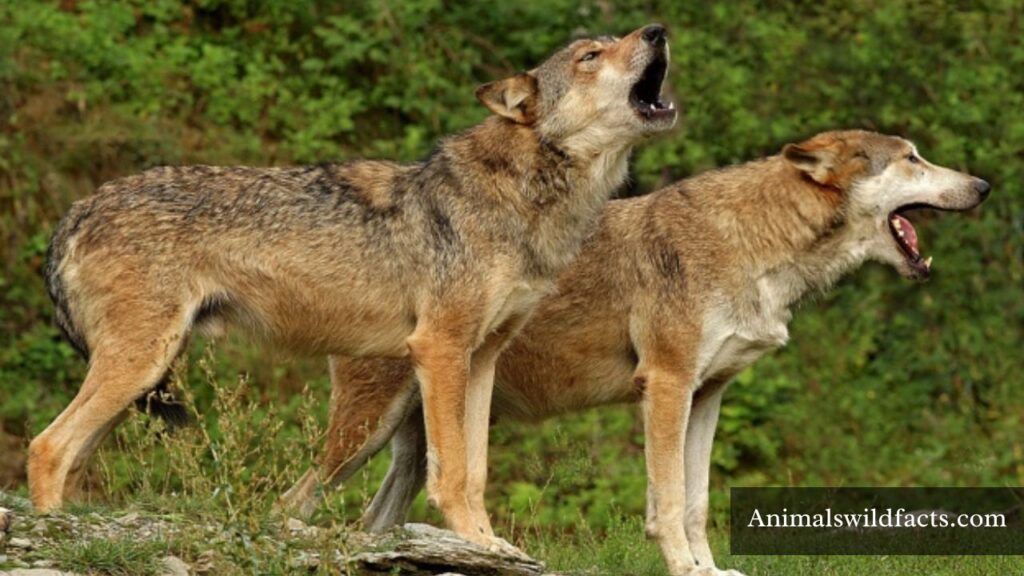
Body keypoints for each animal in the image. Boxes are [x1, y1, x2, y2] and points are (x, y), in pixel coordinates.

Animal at [29, 24, 678, 551]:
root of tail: (78, 209)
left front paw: (492, 543)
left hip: (144, 378)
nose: (657, 29)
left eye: (615, 40)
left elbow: (476, 470)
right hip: (144, 366)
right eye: (590, 55)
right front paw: (474, 543)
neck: (527, 200)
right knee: (46, 447)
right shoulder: (440, 348)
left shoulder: (481, 358)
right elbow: (451, 473)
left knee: (72, 457)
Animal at [283, 130, 989, 574]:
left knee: (376, 523)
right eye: (913, 159)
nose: (983, 186)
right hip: (363, 434)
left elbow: (699, 503)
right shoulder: (668, 386)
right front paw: (685, 571)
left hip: (407, 449)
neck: (753, 245)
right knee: (294, 503)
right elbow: (669, 505)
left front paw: (710, 572)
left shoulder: (708, 395)